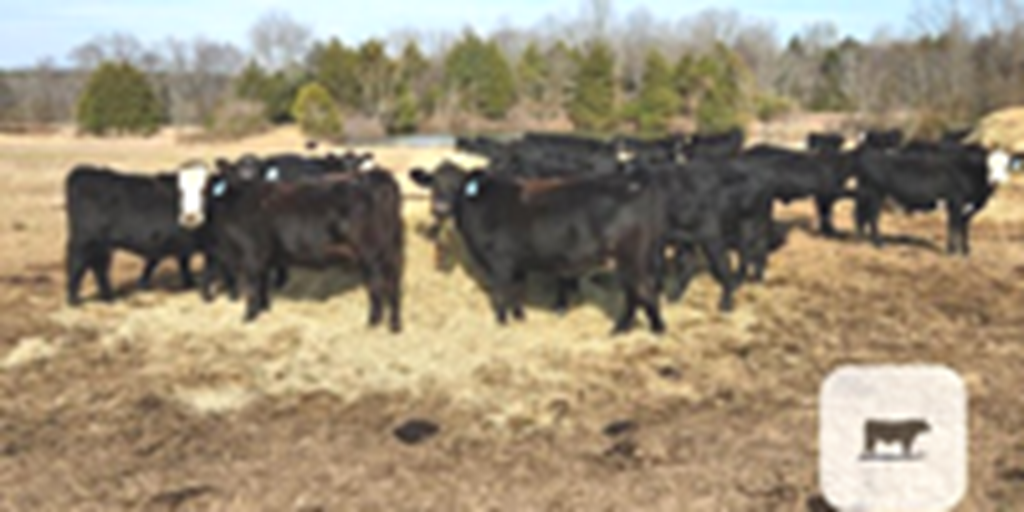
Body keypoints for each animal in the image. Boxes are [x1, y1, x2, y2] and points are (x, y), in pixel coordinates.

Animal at [64, 163, 208, 305]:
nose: (191, 217)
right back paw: (74, 300)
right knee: (78, 263)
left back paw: (108, 297)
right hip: (86, 241)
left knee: (97, 265)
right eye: (180, 192)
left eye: (205, 189)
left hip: (100, 244)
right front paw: (190, 284)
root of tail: (82, 171)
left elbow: (163, 261)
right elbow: (181, 262)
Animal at [182, 162, 404, 330]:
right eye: (180, 191)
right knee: (389, 285)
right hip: (384, 252)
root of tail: (375, 175)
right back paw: (392, 324)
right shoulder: (263, 257)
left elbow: (253, 286)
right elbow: (262, 283)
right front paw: (264, 308)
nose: (190, 216)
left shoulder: (251, 256)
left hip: (372, 253)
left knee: (380, 285)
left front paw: (248, 316)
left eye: (205, 188)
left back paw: (376, 322)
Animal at [410, 164, 667, 334]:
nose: (439, 207)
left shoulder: (498, 261)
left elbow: (501, 290)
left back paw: (654, 329)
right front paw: (519, 316)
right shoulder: (516, 262)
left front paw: (502, 321)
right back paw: (624, 328)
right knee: (635, 292)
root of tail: (635, 182)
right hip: (632, 259)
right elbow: (515, 289)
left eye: (459, 185)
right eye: (433, 183)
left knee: (643, 289)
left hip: (631, 257)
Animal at [852, 145, 1012, 254]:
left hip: (867, 194)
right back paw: (879, 244)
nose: (996, 179)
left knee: (861, 216)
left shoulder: (967, 208)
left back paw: (861, 240)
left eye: (1006, 166)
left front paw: (965, 251)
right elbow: (953, 225)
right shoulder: (955, 202)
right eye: (988, 165)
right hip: (875, 194)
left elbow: (964, 227)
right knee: (872, 217)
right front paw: (951, 250)